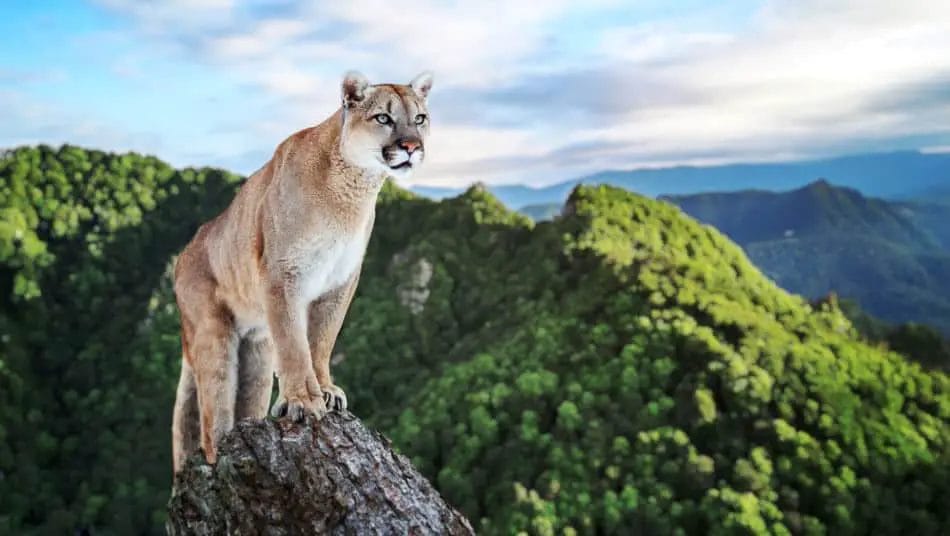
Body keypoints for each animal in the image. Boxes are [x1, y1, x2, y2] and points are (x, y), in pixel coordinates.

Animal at [171, 71, 433, 472]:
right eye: (383, 118)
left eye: (419, 118)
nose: (411, 146)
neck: (351, 191)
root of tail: (182, 256)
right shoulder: (283, 276)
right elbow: (295, 344)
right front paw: (303, 401)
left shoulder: (340, 281)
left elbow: (322, 339)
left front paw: (325, 390)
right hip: (214, 334)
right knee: (210, 421)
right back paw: (221, 453)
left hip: (257, 351)